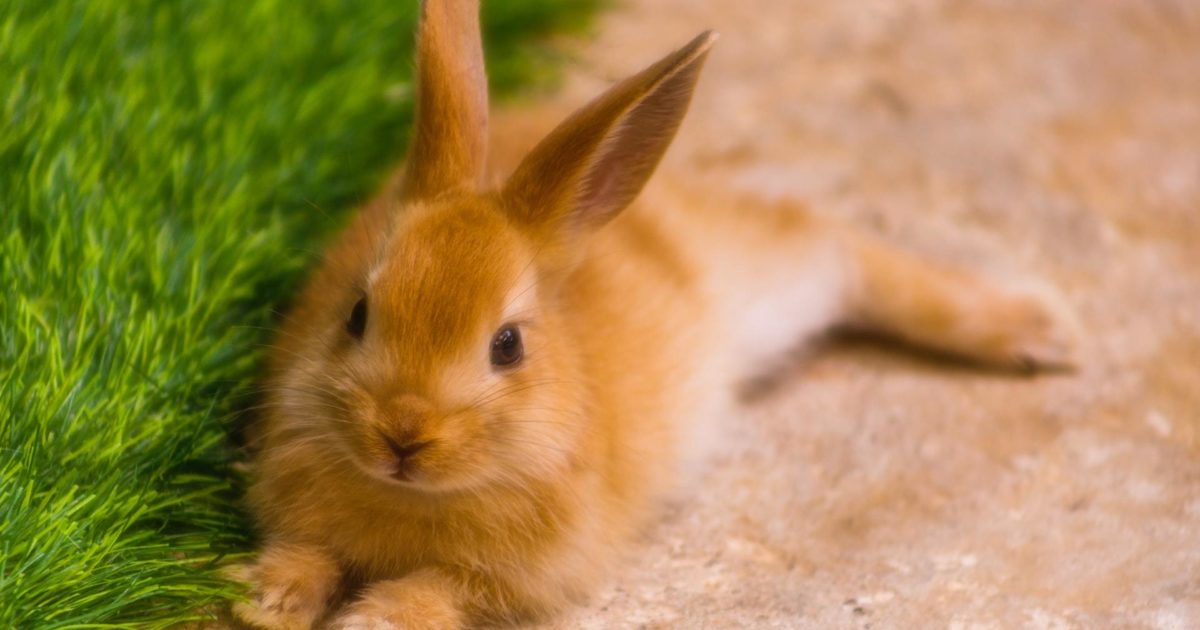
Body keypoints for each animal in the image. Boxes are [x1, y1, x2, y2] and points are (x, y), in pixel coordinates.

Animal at [231, 1, 1078, 628]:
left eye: (507, 346)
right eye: (356, 313)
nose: (402, 435)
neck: (414, 493)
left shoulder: (516, 576)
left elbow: (433, 592)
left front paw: (367, 618)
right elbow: (308, 554)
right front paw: (266, 598)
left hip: (766, 286)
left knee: (838, 246)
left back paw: (1038, 333)